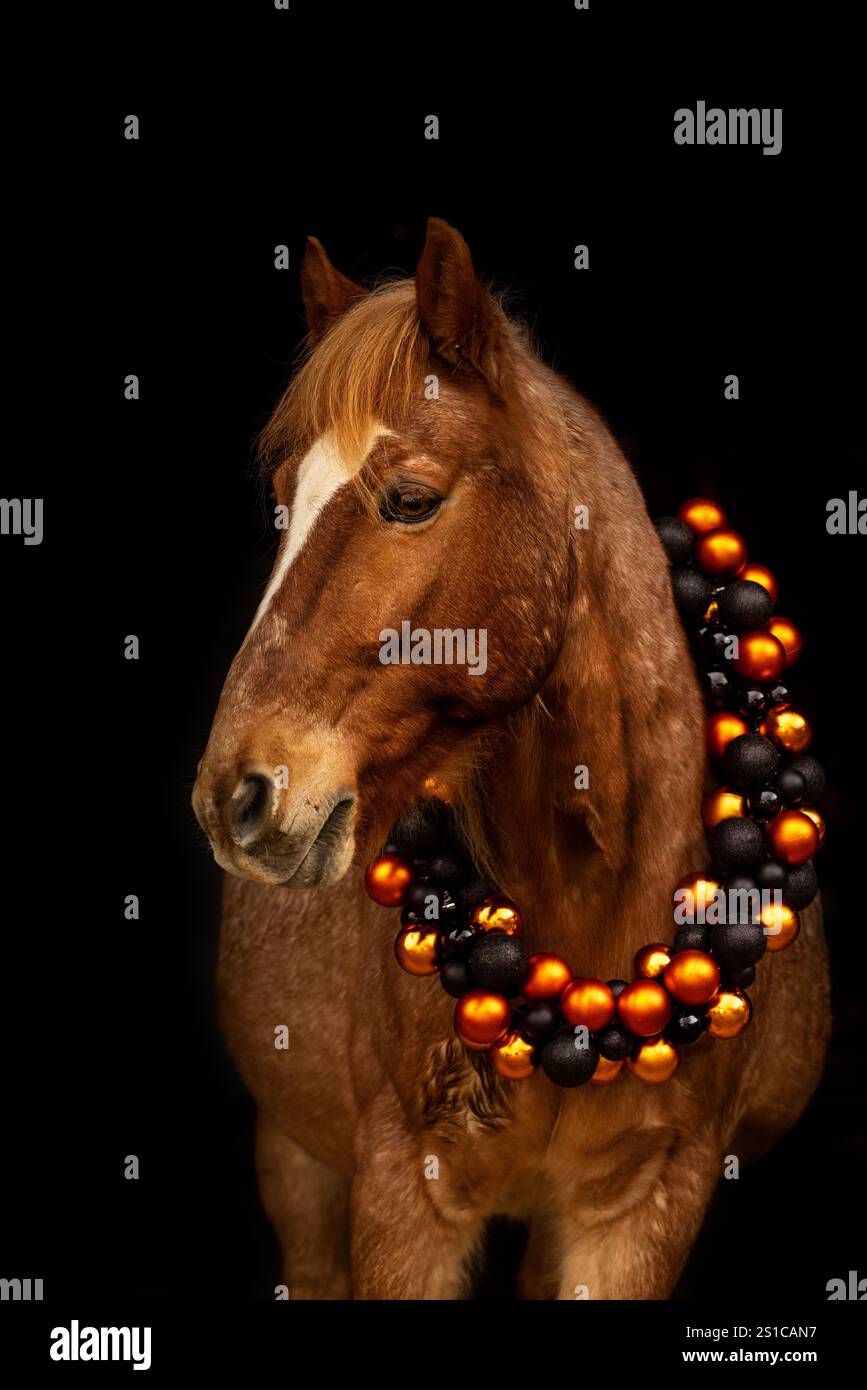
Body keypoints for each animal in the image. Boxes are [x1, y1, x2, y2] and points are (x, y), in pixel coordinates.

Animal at [192, 219, 829, 1299]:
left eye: (409, 499)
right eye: (283, 498)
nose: (234, 795)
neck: (597, 902)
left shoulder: (643, 1206)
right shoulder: (403, 1199)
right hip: (297, 1165)